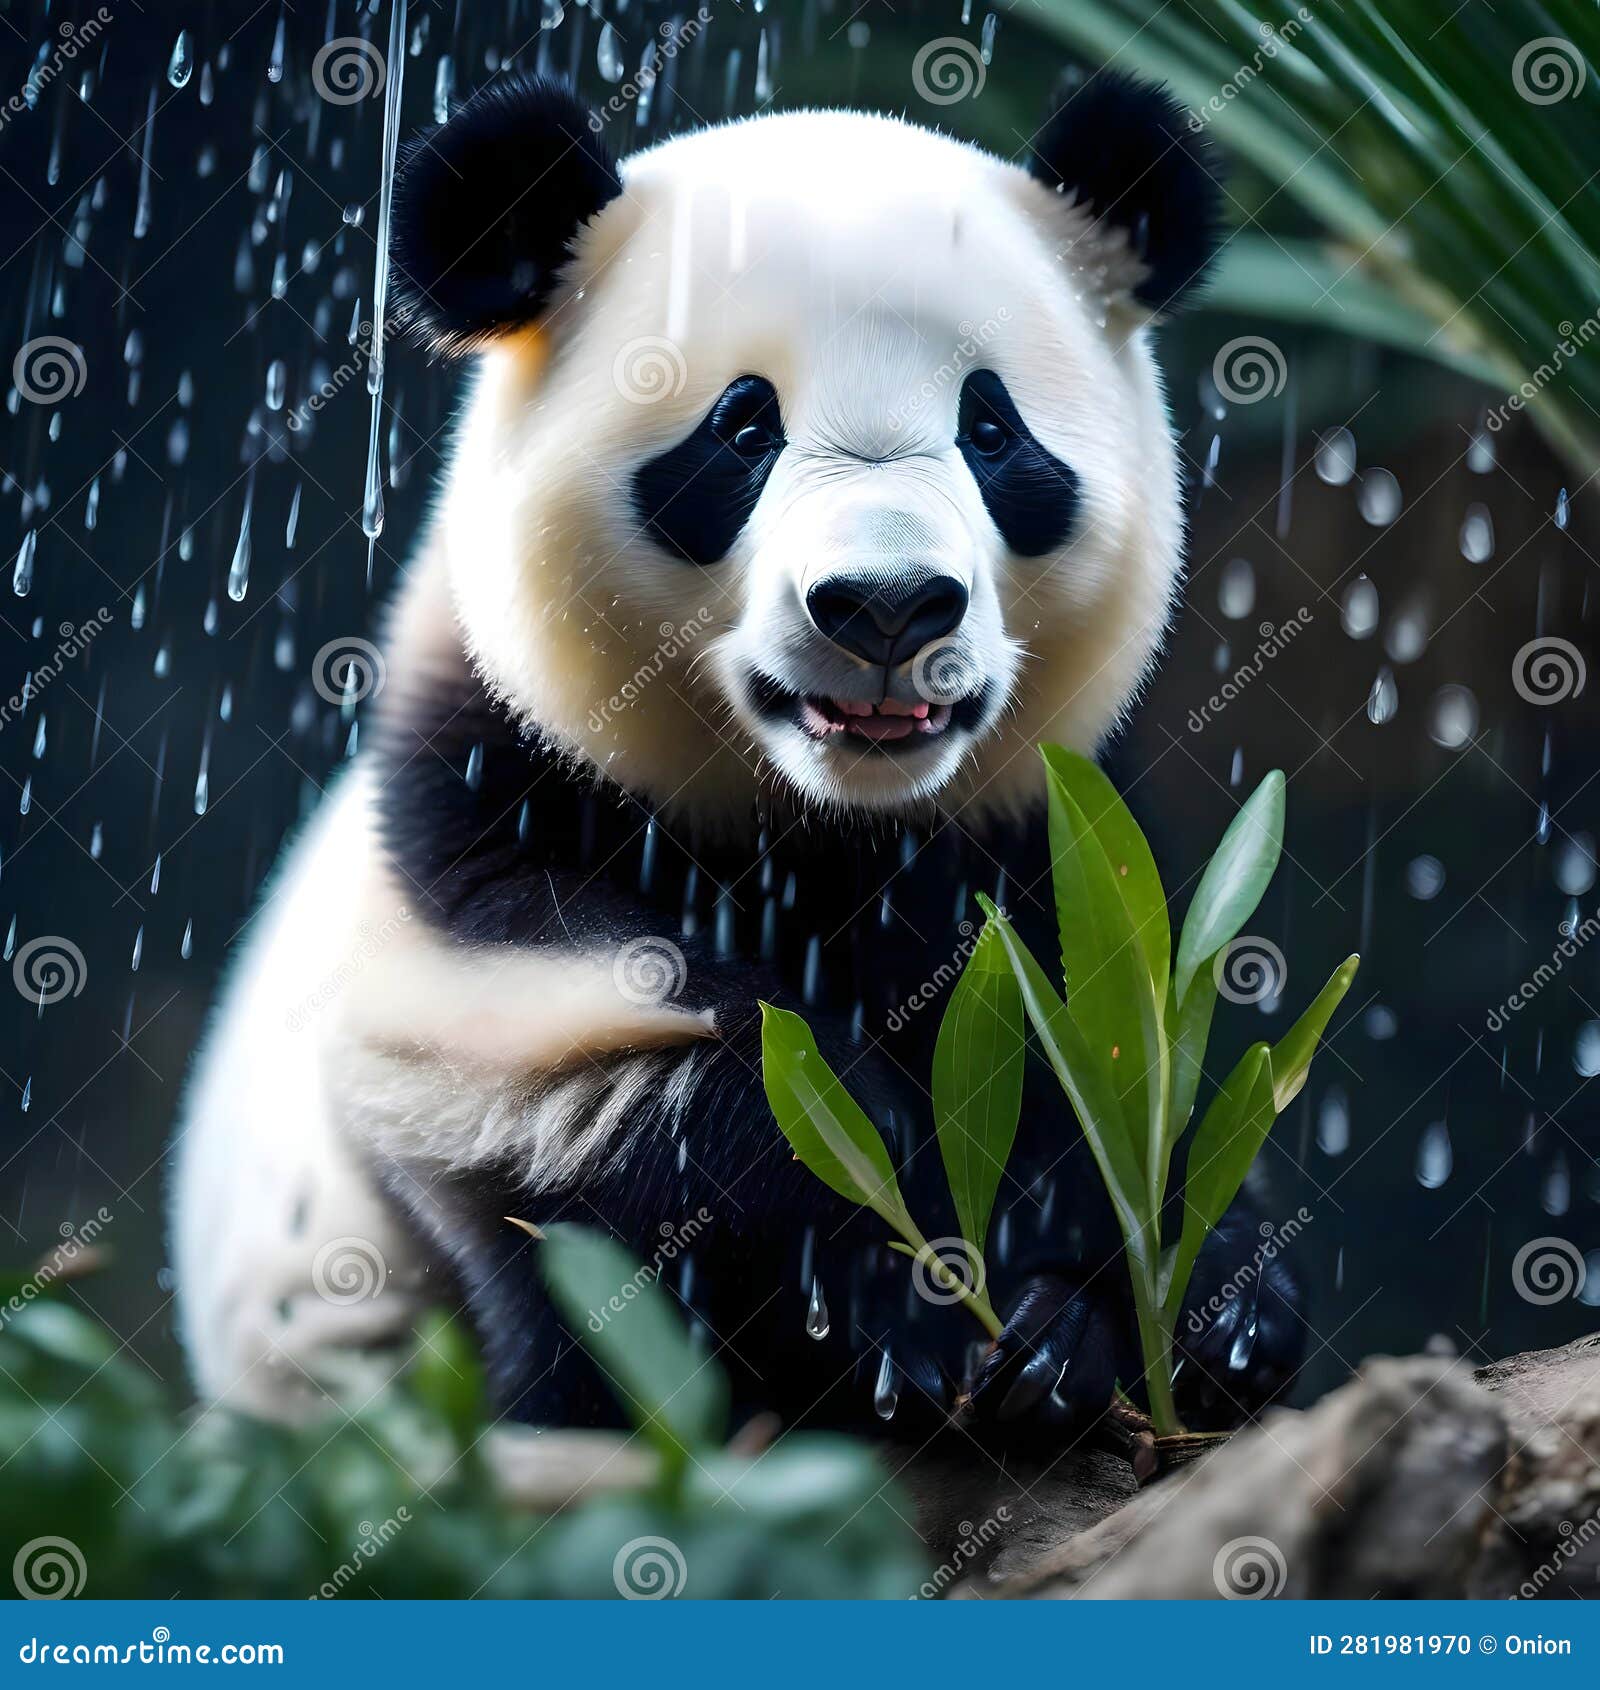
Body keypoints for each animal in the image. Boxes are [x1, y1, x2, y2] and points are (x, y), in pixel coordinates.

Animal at [172, 70, 1304, 1444]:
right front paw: (893, 1272)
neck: (814, 815)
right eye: (740, 428)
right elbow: (600, 1047)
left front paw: (1168, 1321)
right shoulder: (464, 816)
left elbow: (1092, 1054)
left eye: (990, 429)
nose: (885, 606)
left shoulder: (1039, 826)